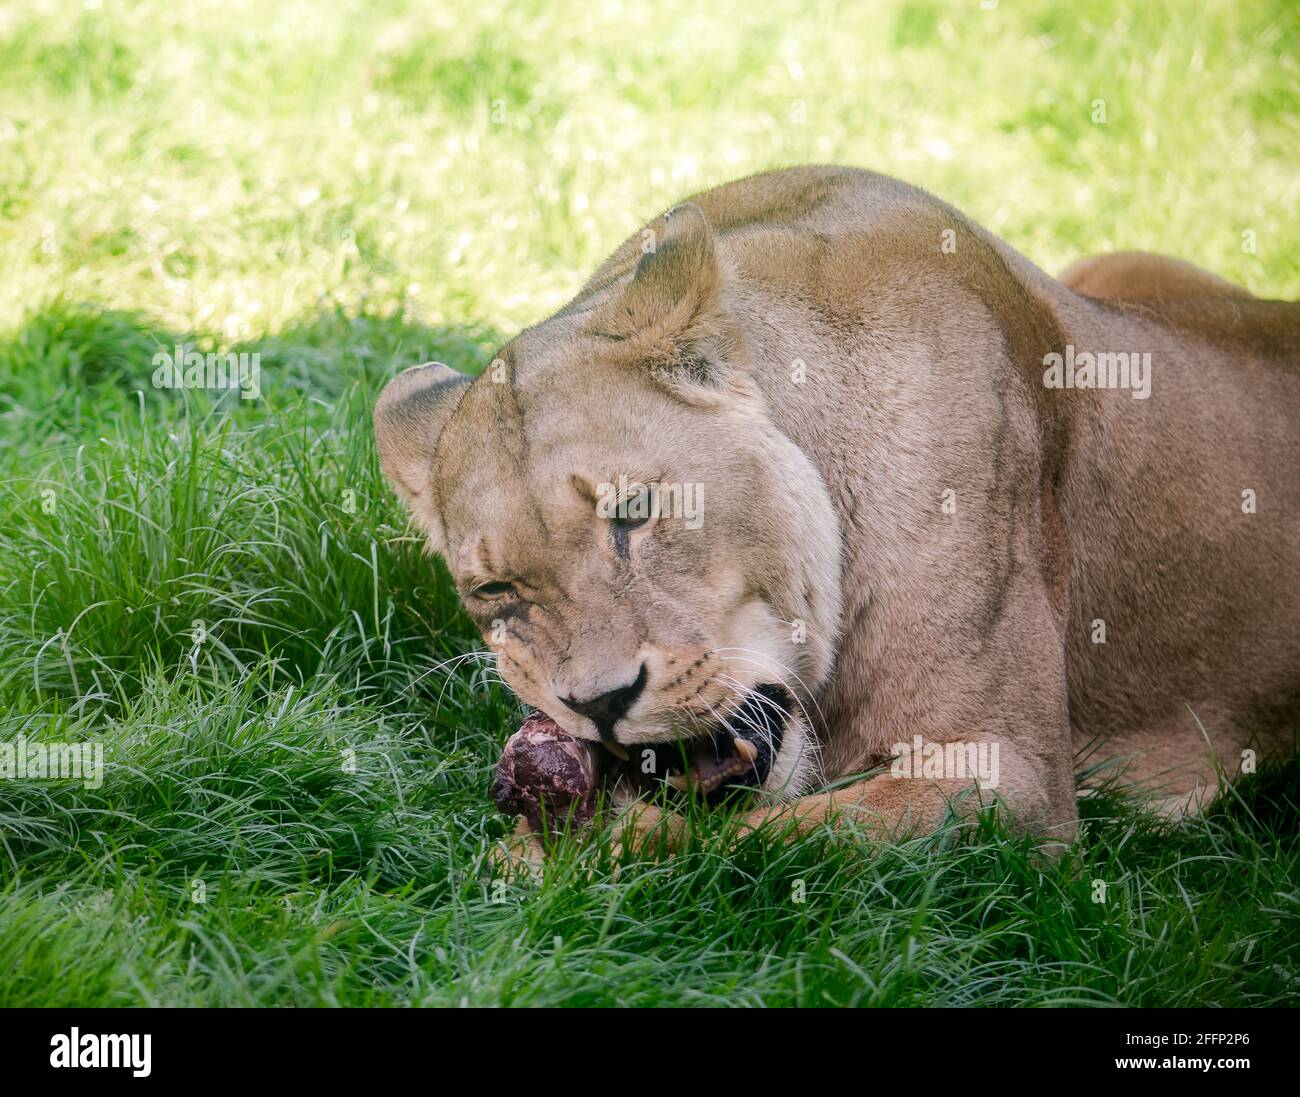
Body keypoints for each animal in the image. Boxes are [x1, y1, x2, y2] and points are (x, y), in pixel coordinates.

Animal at [375, 166, 1300, 864]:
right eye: (496, 592)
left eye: (635, 512)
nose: (599, 704)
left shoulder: (1010, 777)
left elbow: (774, 834)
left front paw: (577, 850)